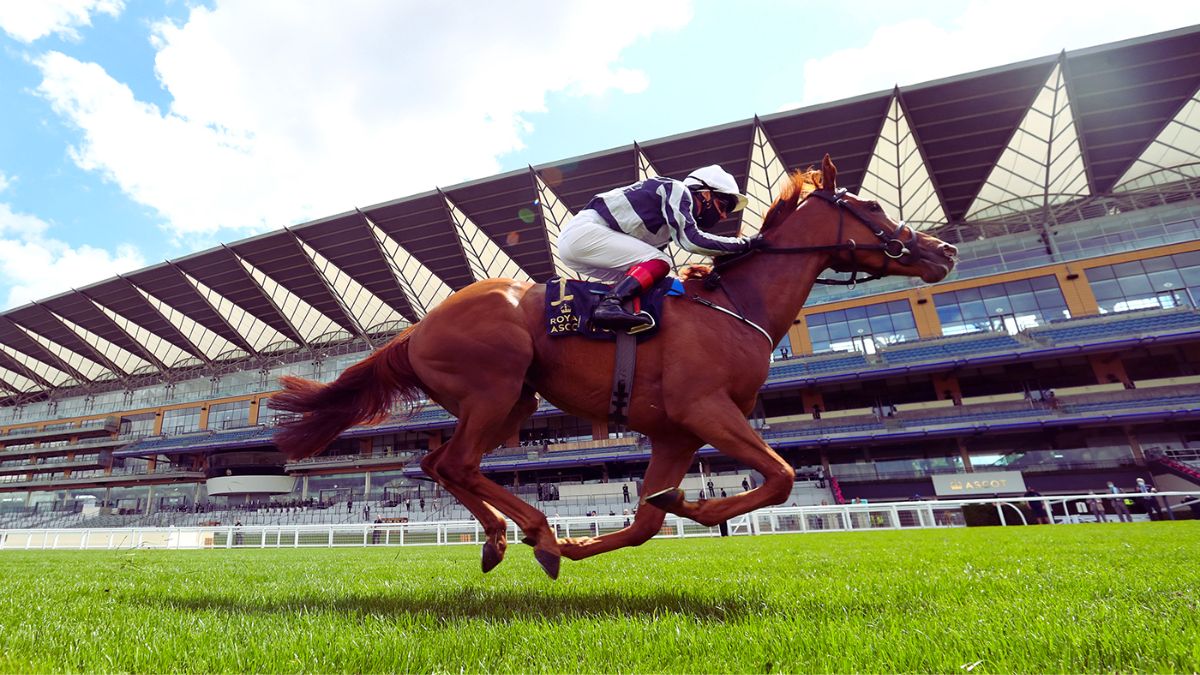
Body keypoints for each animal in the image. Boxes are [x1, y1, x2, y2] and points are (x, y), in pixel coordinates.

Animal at [270, 155, 958, 579]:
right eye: (872, 207)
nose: (944, 250)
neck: (736, 305)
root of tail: (417, 328)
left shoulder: (677, 433)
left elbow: (647, 521)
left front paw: (604, 534)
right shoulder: (705, 408)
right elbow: (783, 476)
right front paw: (692, 509)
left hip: (513, 401)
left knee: (440, 463)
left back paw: (508, 539)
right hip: (494, 389)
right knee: (457, 463)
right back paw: (537, 533)